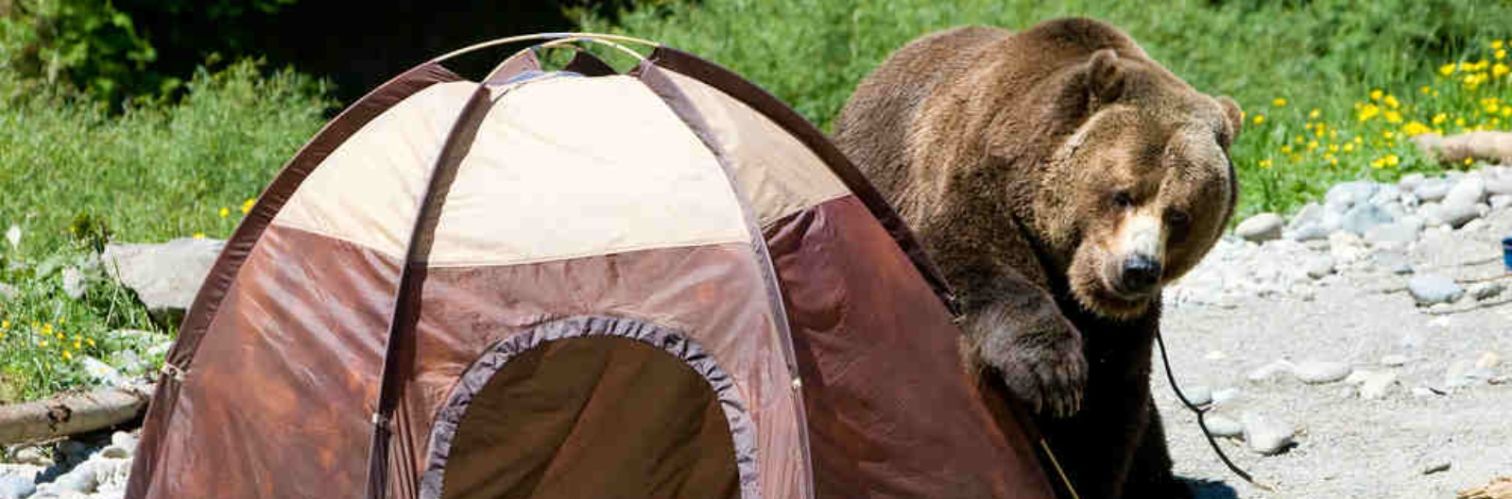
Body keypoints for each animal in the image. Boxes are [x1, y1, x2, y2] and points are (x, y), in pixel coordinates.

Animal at [833, 18, 1241, 499]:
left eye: (1179, 214)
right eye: (1123, 194)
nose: (1138, 269)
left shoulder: (1125, 322)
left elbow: (1113, 397)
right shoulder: (976, 184)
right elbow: (971, 260)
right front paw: (1052, 375)